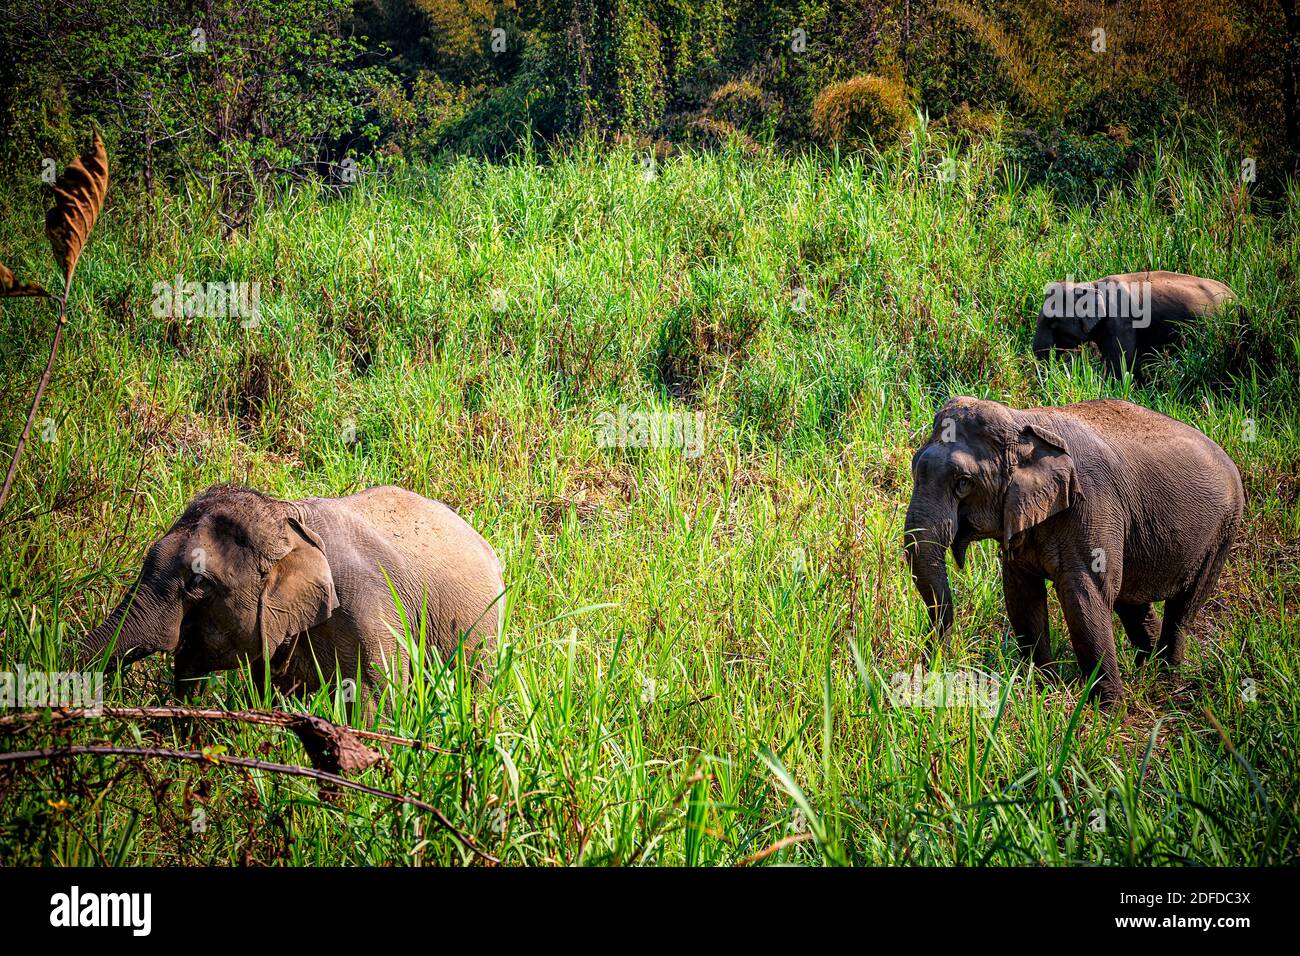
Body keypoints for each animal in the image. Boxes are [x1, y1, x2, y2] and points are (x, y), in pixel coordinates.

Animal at [903, 396, 1242, 704]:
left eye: (963, 481)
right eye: (914, 467)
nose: (930, 666)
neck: (1022, 420)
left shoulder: (1093, 504)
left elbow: (1084, 596)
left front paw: (1106, 712)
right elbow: (1021, 594)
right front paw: (1044, 687)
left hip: (1223, 531)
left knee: (1183, 607)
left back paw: (1168, 678)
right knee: (1131, 603)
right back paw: (1148, 671)